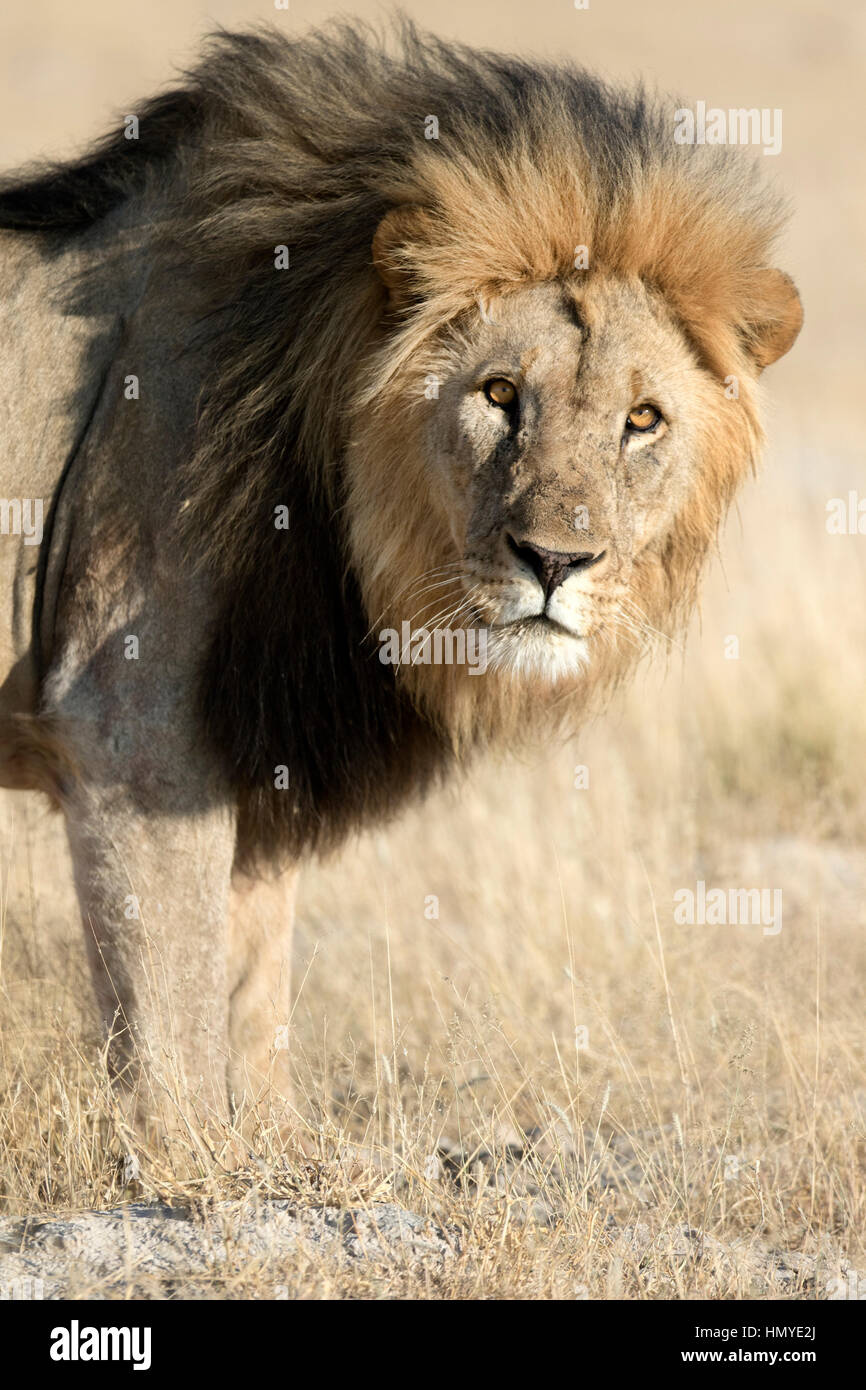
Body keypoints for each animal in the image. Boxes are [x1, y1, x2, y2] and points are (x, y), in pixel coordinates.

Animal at [0, 22, 801, 1141]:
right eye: (500, 394)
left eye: (642, 419)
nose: (554, 560)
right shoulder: (132, 741)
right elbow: (176, 1028)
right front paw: (189, 1160)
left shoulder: (259, 746)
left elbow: (253, 995)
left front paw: (275, 1152)